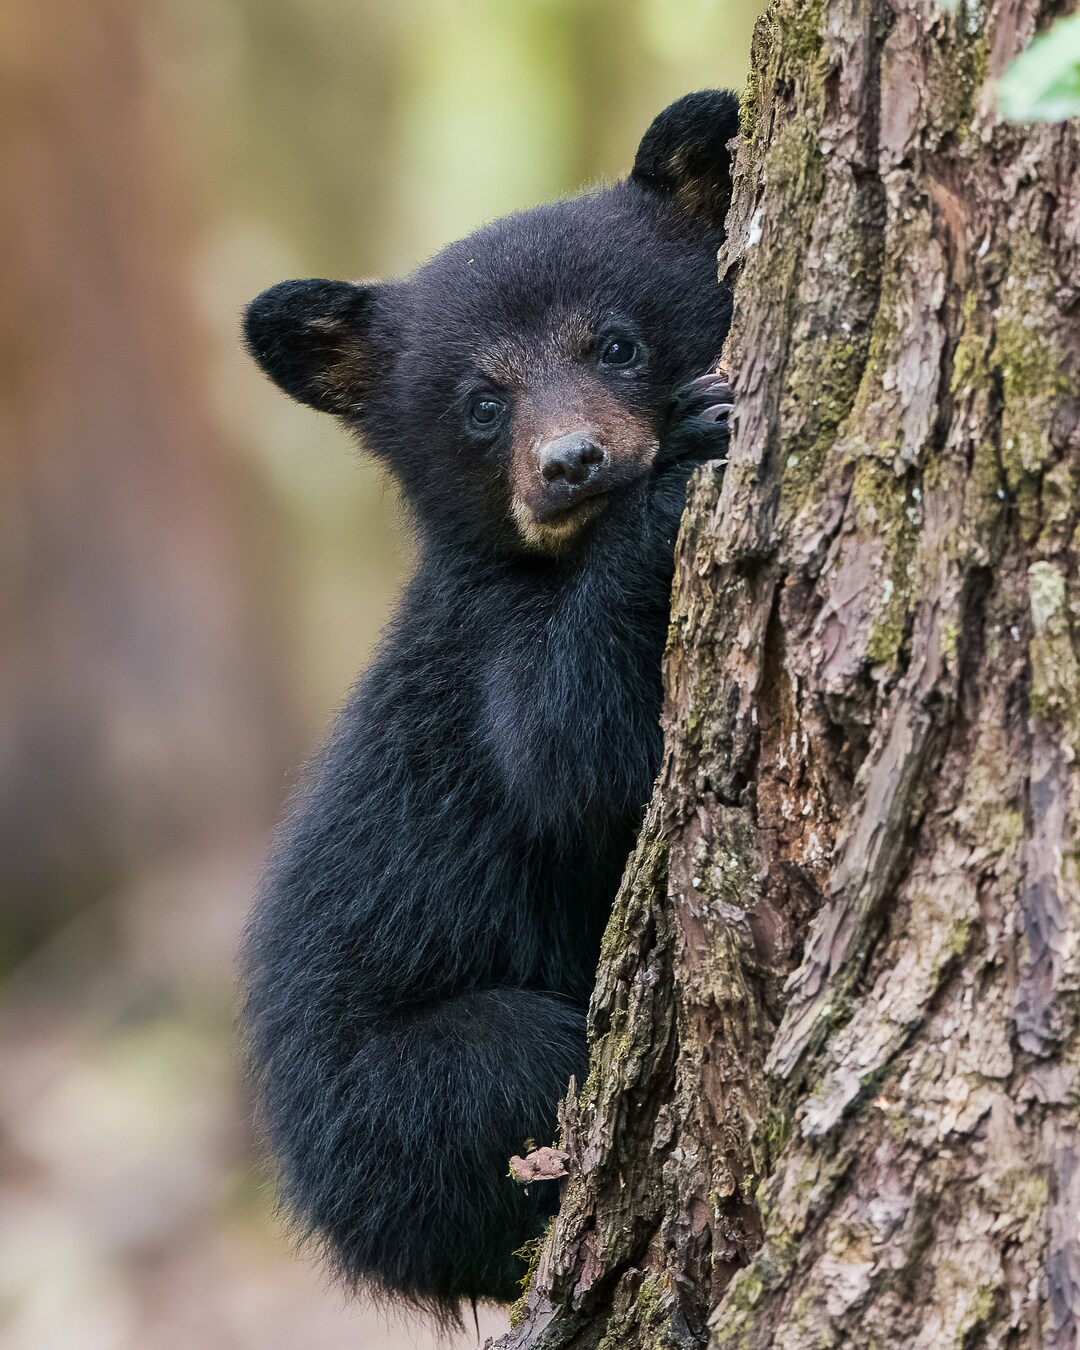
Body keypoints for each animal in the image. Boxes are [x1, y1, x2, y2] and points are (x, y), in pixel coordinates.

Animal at [240, 88, 739, 1319]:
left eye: (615, 341)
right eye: (479, 403)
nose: (572, 462)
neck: (541, 562)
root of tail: (342, 1231)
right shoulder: (483, 648)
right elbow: (568, 746)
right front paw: (678, 471)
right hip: (411, 1108)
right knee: (516, 1067)